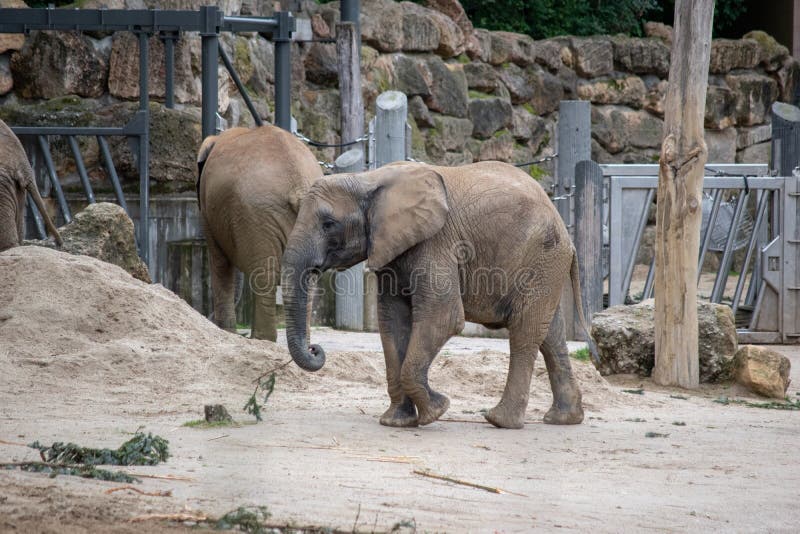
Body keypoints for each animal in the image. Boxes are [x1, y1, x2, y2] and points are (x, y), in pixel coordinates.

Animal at [197, 123, 323, 341]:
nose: (208, 317)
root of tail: (298, 182)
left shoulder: (207, 210)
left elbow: (220, 262)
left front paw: (227, 332)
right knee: (304, 277)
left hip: (257, 214)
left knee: (264, 275)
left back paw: (261, 339)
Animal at [281, 160, 597, 429]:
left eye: (328, 224)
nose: (315, 348)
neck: (368, 179)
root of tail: (567, 236)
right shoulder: (392, 248)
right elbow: (392, 322)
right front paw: (396, 422)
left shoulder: (437, 243)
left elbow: (443, 316)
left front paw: (437, 410)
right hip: (545, 264)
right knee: (550, 334)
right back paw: (563, 419)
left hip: (541, 258)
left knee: (524, 331)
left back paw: (499, 421)